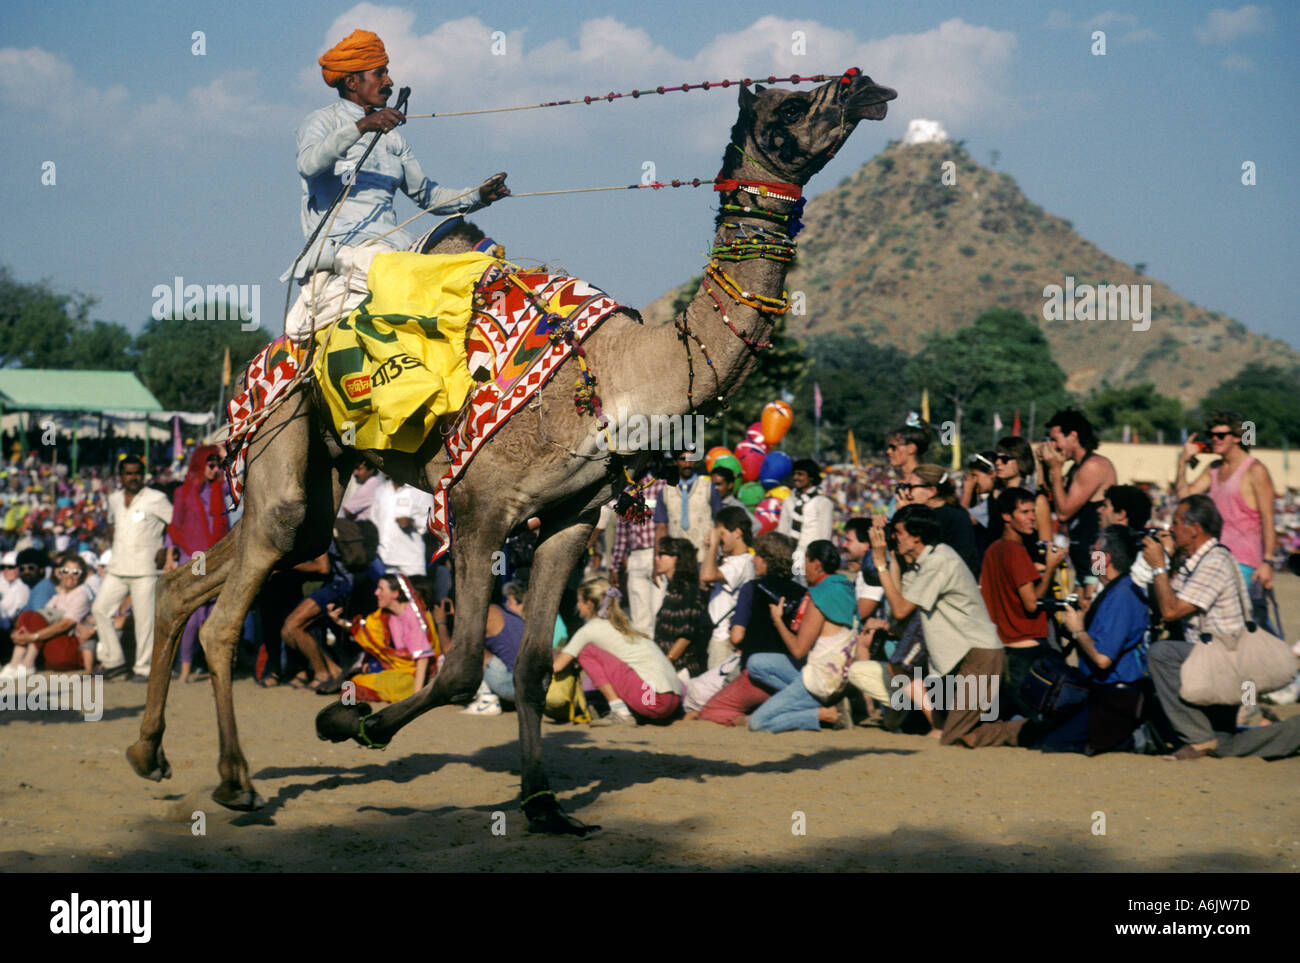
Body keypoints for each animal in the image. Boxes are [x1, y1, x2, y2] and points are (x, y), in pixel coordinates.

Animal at [127, 69, 896, 835]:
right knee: (230, 607)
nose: (866, 86)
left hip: (326, 475)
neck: (622, 375)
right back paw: (237, 782)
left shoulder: (571, 516)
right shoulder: (478, 506)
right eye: (789, 108)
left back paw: (148, 752)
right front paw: (348, 722)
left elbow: (531, 664)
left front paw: (544, 803)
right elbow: (464, 662)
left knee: (197, 578)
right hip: (281, 429)